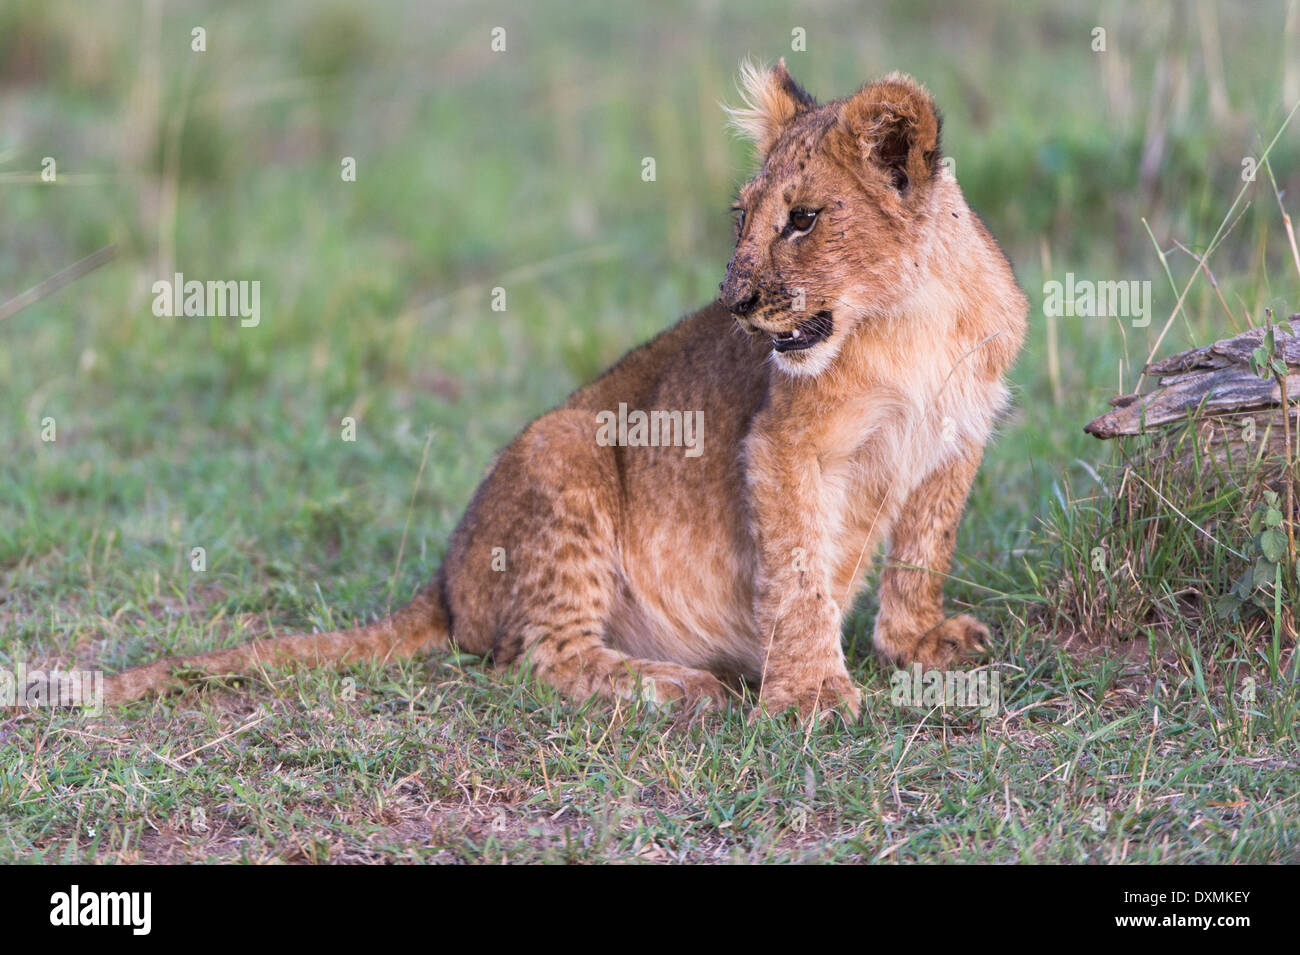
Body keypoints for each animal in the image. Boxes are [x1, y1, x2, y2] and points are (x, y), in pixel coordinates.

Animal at [101, 61, 1027, 722]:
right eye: (742, 217)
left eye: (803, 220)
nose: (732, 300)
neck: (910, 318)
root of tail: (445, 583)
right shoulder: (781, 440)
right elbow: (798, 570)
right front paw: (808, 694)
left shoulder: (958, 435)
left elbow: (924, 547)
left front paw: (919, 642)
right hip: (567, 444)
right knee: (539, 658)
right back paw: (682, 684)